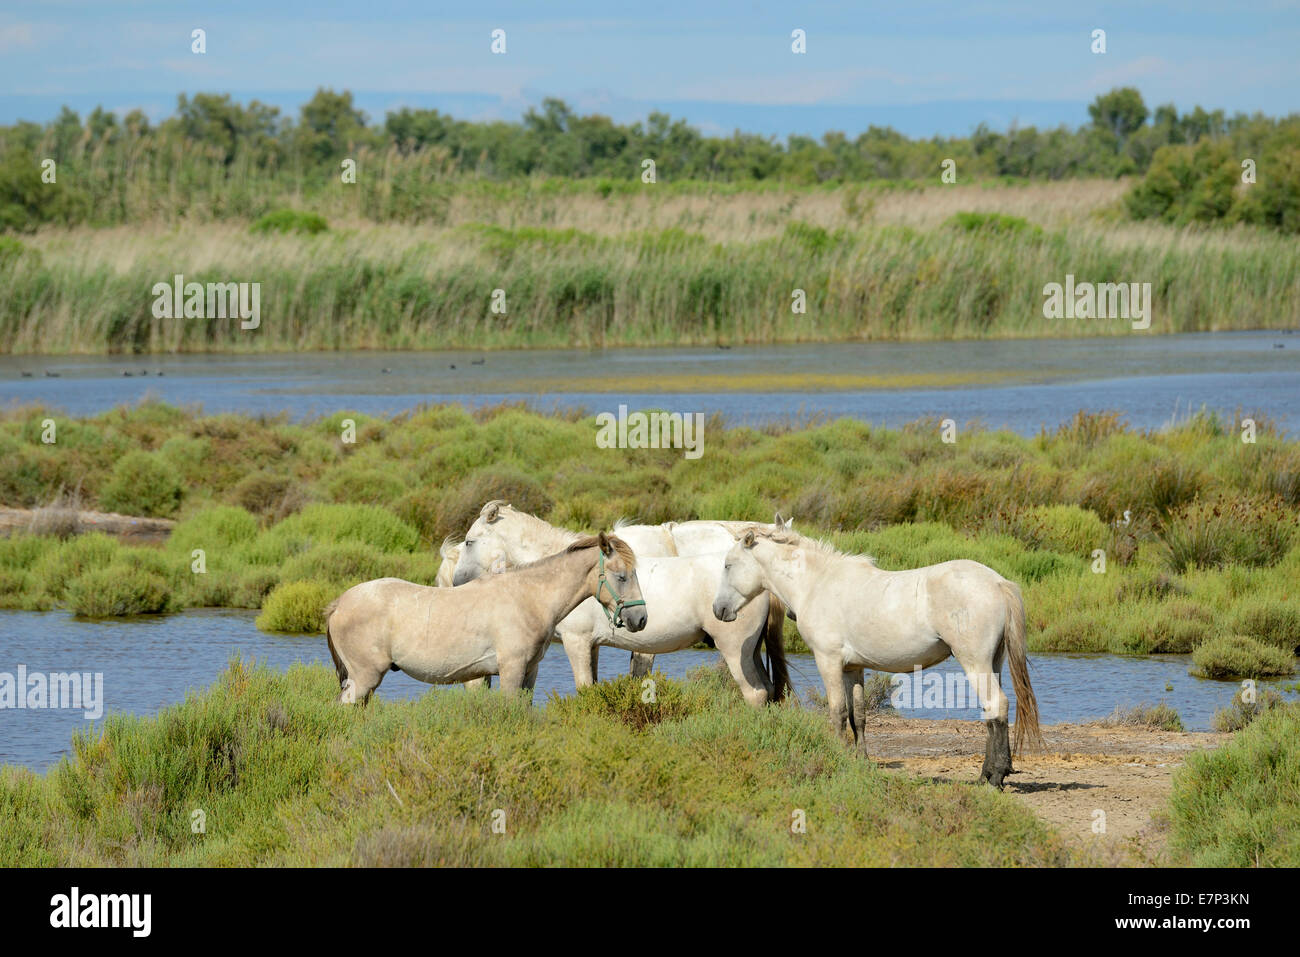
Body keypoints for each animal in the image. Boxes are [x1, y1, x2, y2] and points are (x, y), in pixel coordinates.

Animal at [325, 532, 646, 703]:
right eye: (621, 576)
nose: (641, 618)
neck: (529, 597)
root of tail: (338, 604)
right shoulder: (511, 669)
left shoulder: (529, 672)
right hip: (363, 679)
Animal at [712, 527, 1042, 788]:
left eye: (728, 565)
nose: (718, 610)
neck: (818, 584)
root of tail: (997, 582)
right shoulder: (852, 668)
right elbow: (858, 715)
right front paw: (860, 761)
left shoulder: (828, 661)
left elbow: (837, 712)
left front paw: (838, 757)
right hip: (993, 663)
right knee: (992, 712)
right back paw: (988, 773)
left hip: (975, 663)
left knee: (996, 706)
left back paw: (995, 777)